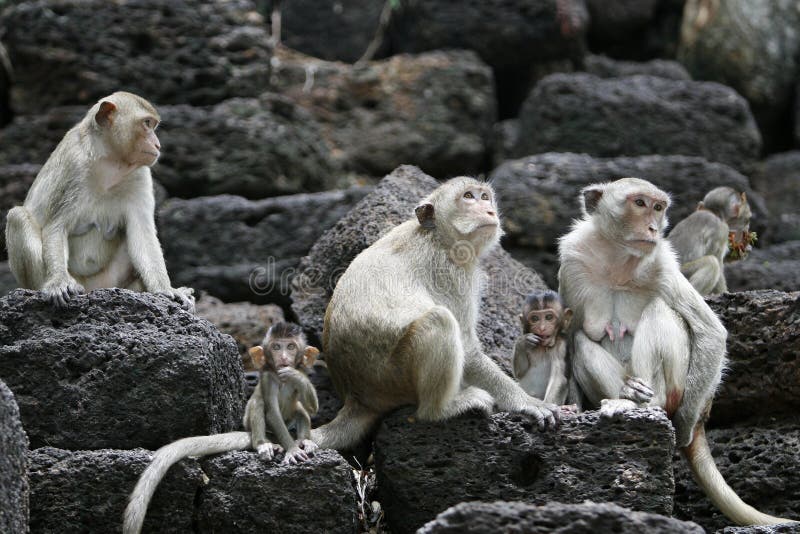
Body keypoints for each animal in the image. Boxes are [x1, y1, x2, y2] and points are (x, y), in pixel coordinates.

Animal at [4, 91, 194, 310]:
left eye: (152, 125)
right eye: (147, 123)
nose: (157, 145)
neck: (110, 161)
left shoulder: (140, 175)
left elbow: (142, 234)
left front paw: (166, 289)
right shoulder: (73, 164)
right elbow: (56, 226)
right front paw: (58, 283)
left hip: (108, 280)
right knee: (17, 216)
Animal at [123, 322, 320, 534]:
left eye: (290, 347)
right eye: (276, 347)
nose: (283, 357)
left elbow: (312, 408)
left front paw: (296, 375)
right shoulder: (267, 377)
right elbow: (272, 412)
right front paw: (292, 450)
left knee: (301, 412)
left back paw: (304, 440)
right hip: (253, 424)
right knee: (258, 404)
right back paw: (263, 444)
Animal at [309, 176, 560, 453]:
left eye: (485, 197)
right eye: (468, 196)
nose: (490, 211)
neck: (437, 236)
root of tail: (357, 397)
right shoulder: (450, 273)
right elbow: (468, 349)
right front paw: (527, 402)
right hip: (393, 377)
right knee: (439, 321)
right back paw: (442, 409)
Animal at [558, 177, 792, 526]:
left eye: (658, 207)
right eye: (639, 203)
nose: (654, 227)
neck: (618, 261)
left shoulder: (663, 264)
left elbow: (711, 333)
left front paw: (681, 429)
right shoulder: (571, 265)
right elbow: (569, 338)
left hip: (676, 387)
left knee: (660, 310)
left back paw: (649, 404)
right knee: (583, 341)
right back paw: (626, 396)